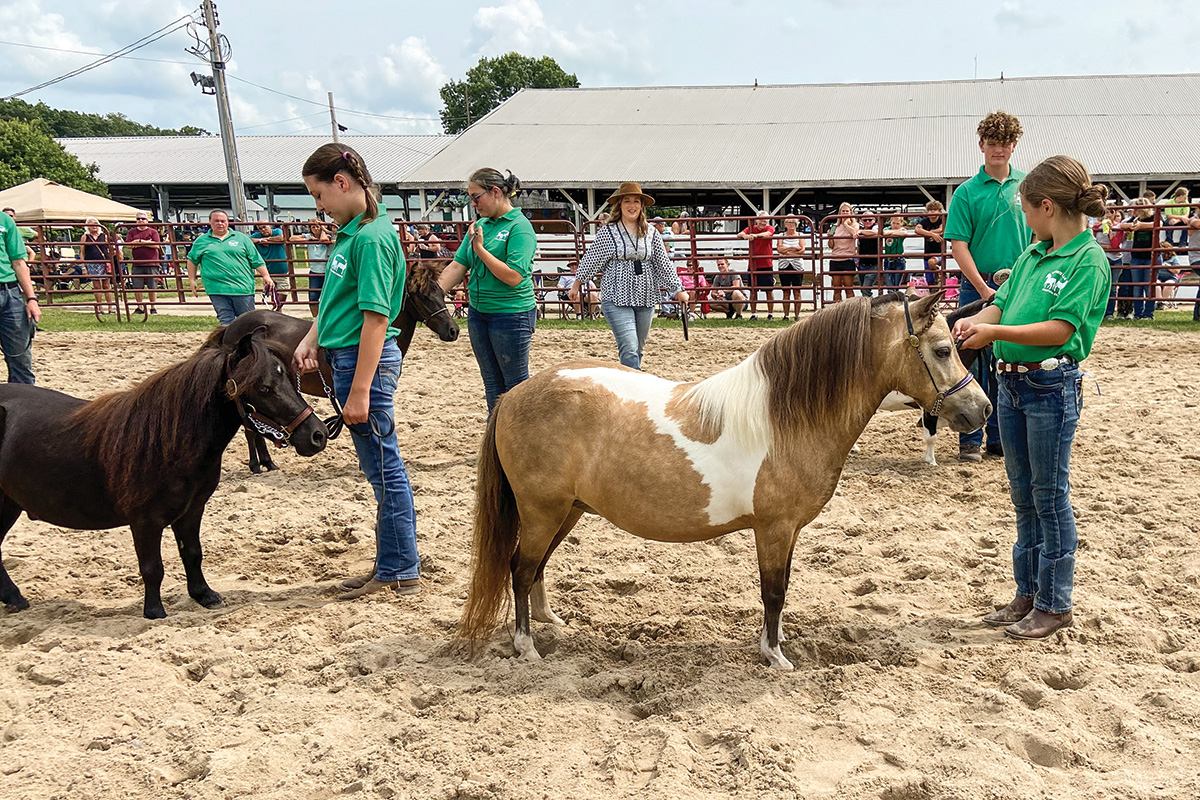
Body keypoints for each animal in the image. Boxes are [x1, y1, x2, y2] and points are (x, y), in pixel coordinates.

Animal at [0, 325, 328, 619]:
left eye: (289, 378)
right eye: (263, 387)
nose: (318, 435)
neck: (165, 445)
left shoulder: (191, 511)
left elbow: (192, 553)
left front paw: (204, 595)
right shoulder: (144, 522)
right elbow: (152, 568)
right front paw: (155, 612)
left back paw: (14, 599)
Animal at [225, 259, 460, 473]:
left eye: (442, 293)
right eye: (424, 296)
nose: (453, 330)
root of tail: (232, 327)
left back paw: (268, 463)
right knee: (250, 430)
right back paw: (256, 465)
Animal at [457, 292, 992, 670]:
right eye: (942, 350)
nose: (982, 410)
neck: (785, 418)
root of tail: (512, 395)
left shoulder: (786, 531)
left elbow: (781, 587)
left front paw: (771, 642)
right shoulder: (773, 528)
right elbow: (773, 590)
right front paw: (775, 656)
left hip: (566, 511)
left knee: (536, 568)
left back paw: (551, 624)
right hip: (542, 510)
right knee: (519, 569)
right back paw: (527, 647)